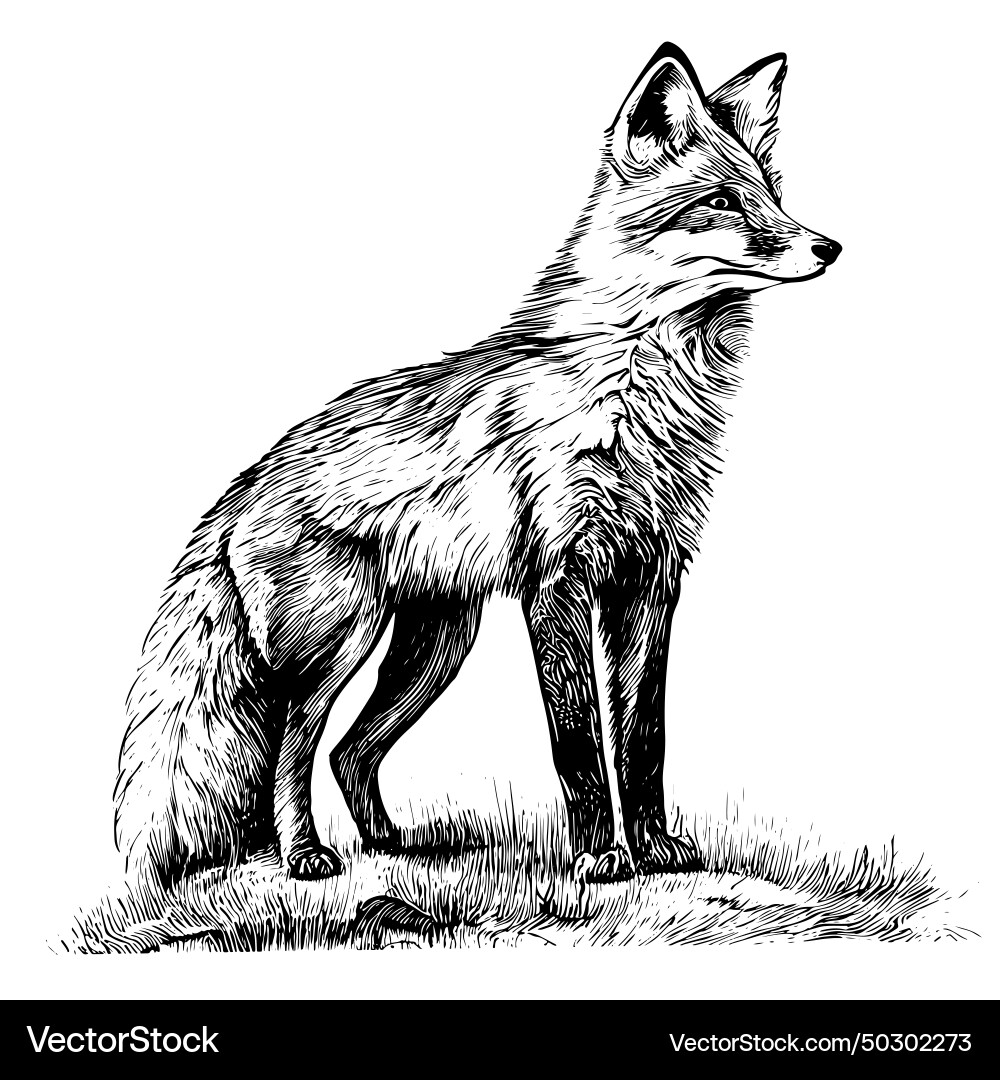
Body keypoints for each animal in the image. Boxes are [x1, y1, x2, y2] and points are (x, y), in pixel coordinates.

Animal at [115, 42, 840, 886]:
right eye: (722, 202)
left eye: (774, 197)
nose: (829, 247)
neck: (640, 392)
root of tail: (248, 479)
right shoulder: (559, 580)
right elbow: (578, 743)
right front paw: (601, 856)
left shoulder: (651, 579)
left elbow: (643, 739)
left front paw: (656, 848)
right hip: (337, 645)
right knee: (291, 749)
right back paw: (303, 855)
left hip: (436, 647)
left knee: (348, 751)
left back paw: (393, 843)